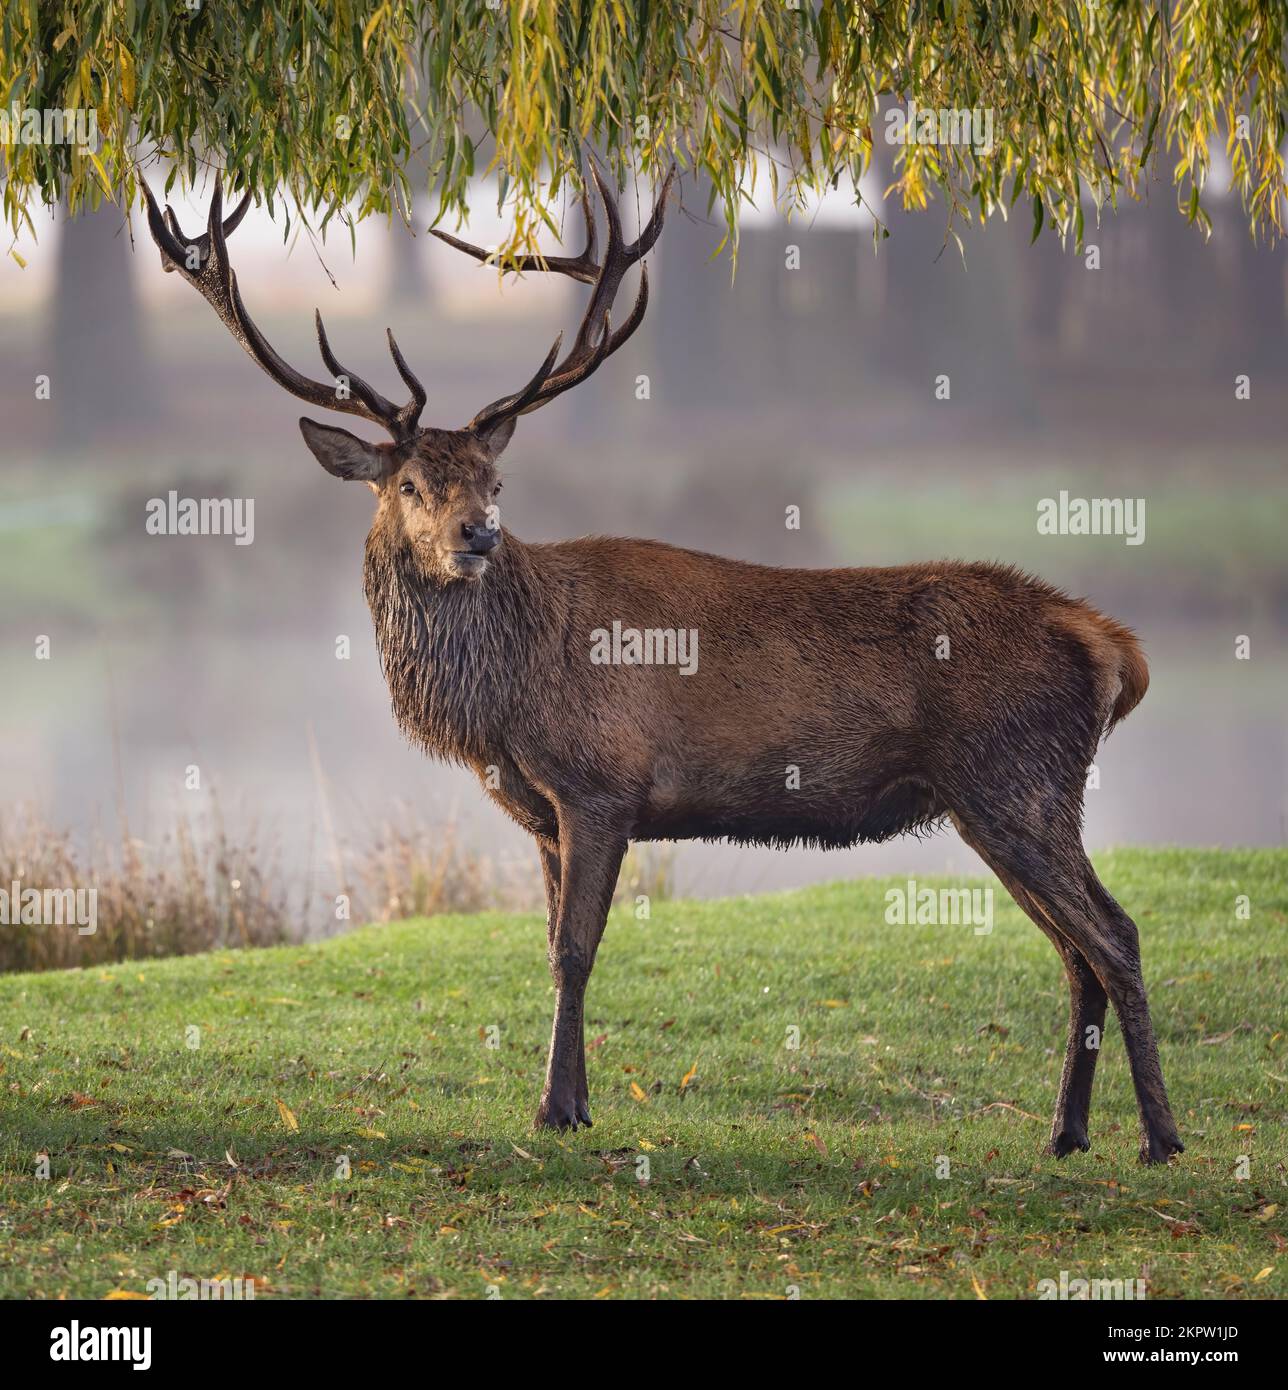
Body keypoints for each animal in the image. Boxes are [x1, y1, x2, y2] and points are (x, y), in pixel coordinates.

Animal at [141, 166, 1184, 1164]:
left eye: (493, 480)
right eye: (409, 484)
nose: (478, 536)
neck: (504, 702)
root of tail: (1112, 645)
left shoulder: (602, 784)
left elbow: (574, 950)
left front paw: (555, 1108)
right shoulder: (544, 812)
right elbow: (550, 946)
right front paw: (578, 1102)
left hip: (1018, 781)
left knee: (1117, 934)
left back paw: (1160, 1137)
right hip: (995, 800)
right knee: (1076, 953)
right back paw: (1064, 1131)